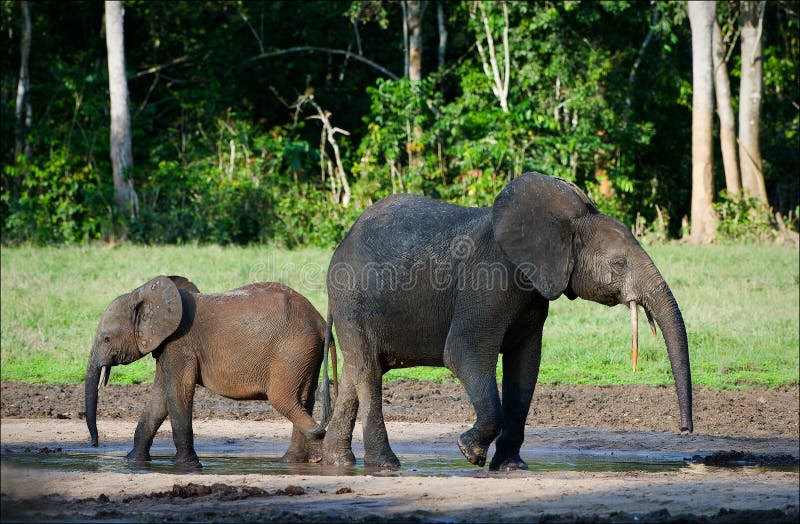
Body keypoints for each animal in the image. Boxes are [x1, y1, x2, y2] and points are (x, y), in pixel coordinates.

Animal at [84, 275, 336, 469]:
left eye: (106, 339)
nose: (95, 444)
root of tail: (320, 320)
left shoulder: (180, 344)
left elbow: (178, 391)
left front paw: (186, 466)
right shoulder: (166, 346)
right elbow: (159, 398)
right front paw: (133, 462)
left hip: (293, 351)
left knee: (284, 399)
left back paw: (316, 455)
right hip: (306, 355)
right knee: (303, 400)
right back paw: (292, 461)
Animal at [321, 172, 692, 470]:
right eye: (619, 264)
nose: (685, 430)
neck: (564, 223)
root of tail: (342, 243)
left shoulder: (533, 294)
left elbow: (526, 366)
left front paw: (511, 467)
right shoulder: (488, 279)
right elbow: (463, 353)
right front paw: (469, 452)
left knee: (357, 373)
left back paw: (339, 461)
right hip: (351, 299)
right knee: (368, 371)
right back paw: (386, 466)